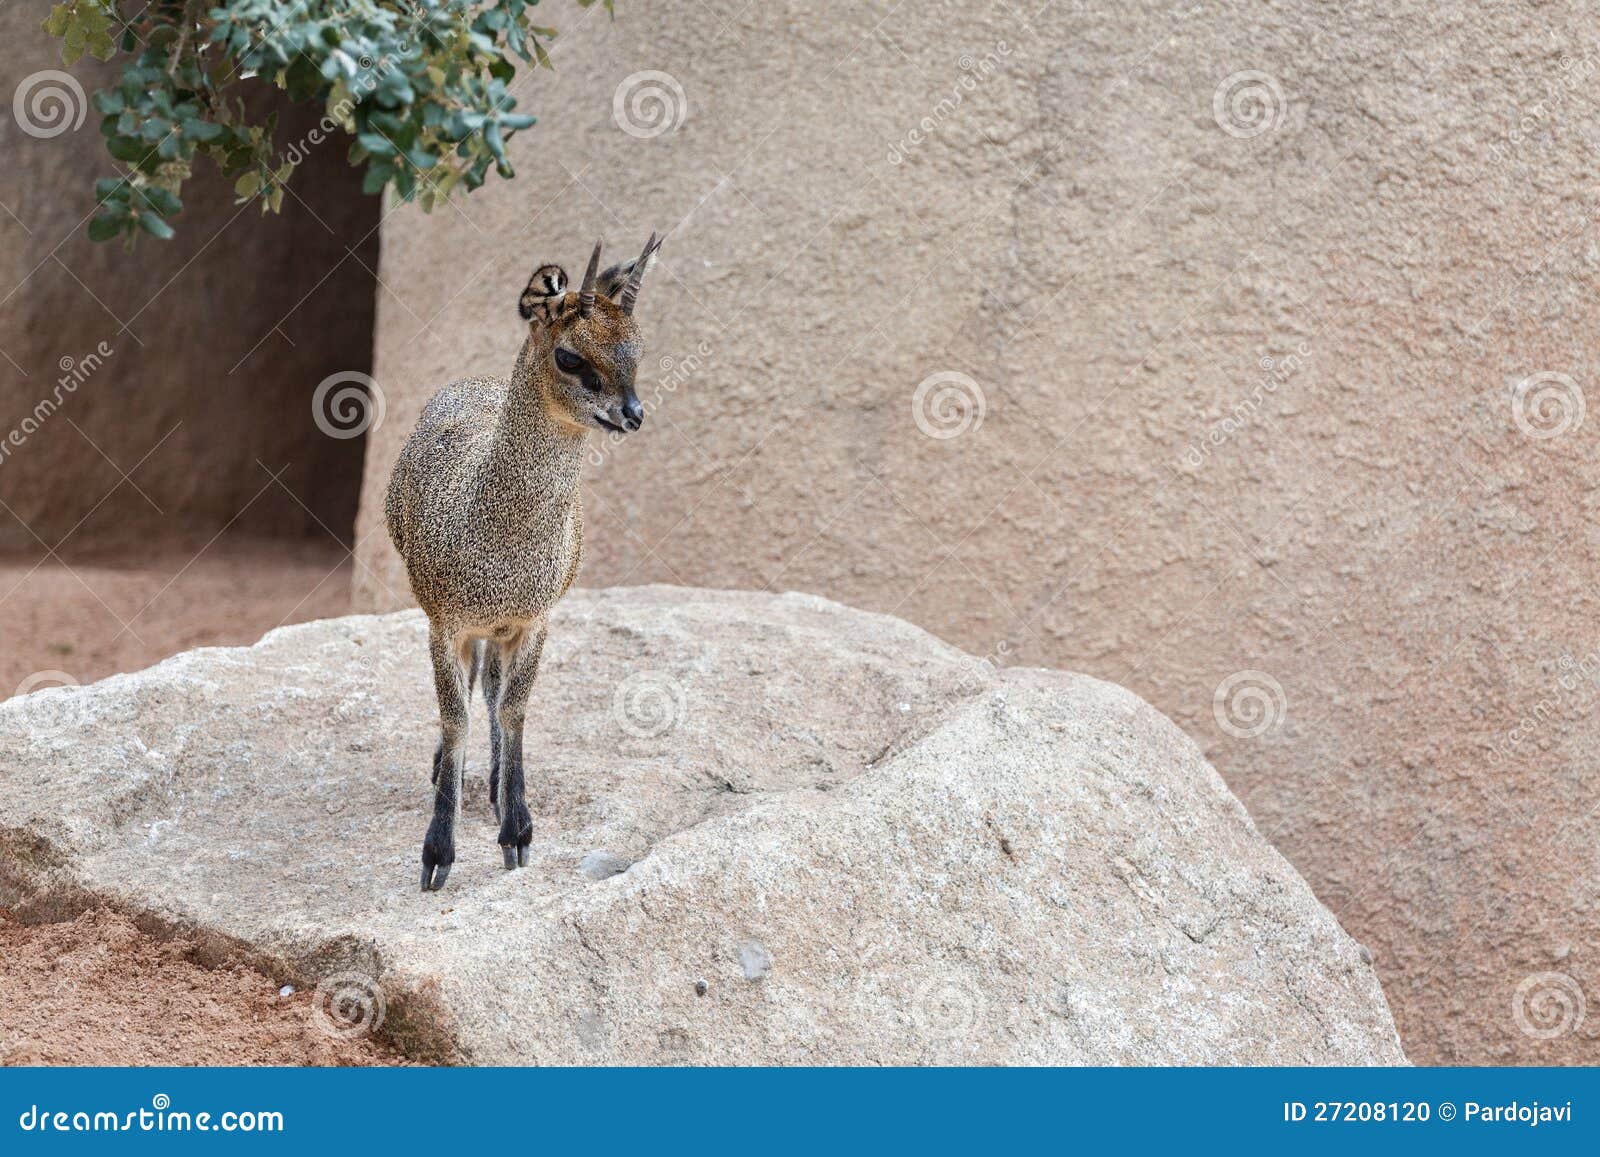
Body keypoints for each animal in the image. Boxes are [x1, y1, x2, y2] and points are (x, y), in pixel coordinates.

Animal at [385, 234, 662, 891]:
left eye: (637, 348)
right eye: (569, 356)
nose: (633, 413)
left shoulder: (534, 622)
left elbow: (513, 708)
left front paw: (516, 833)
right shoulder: (446, 624)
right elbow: (454, 714)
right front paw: (437, 853)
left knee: (489, 688)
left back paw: (487, 784)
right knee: (468, 692)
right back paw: (450, 772)